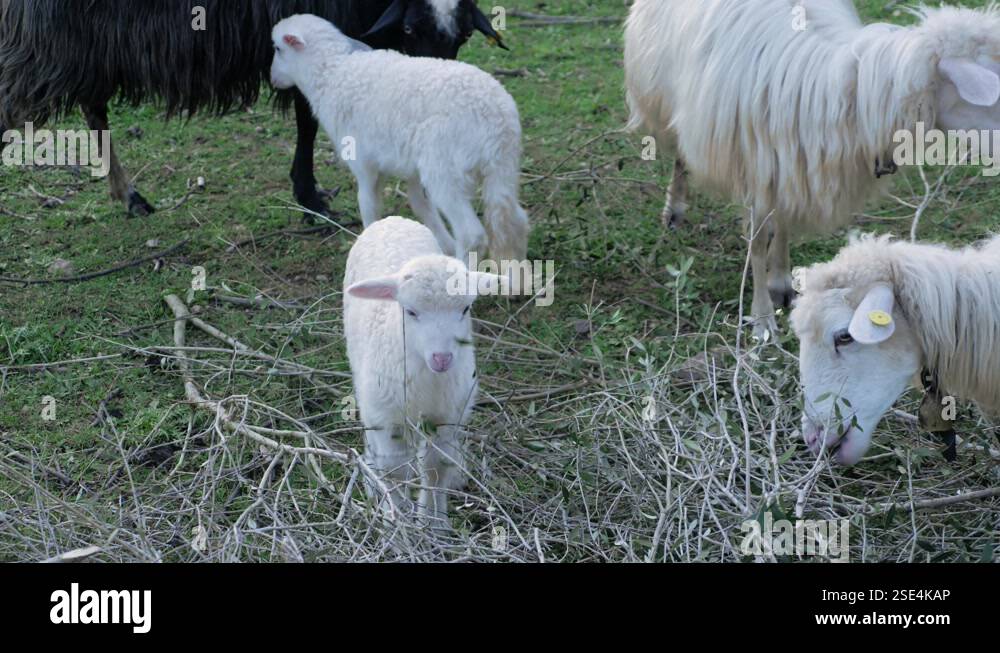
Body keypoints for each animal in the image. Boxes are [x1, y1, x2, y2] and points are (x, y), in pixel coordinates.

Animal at [0, 0, 505, 217]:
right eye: (409, 29)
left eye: (463, 35)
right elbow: (306, 119)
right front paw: (310, 199)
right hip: (42, 43)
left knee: (94, 108)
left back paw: (129, 196)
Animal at [270, 14, 529, 265]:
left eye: (278, 49)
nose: (273, 80)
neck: (331, 73)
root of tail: (497, 120)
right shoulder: (409, 168)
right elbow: (420, 204)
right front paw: (442, 247)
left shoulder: (365, 164)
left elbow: (368, 206)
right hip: (502, 168)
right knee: (514, 221)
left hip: (445, 168)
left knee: (471, 234)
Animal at [344, 215, 501, 524]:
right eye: (411, 312)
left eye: (466, 309)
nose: (442, 358)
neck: (428, 382)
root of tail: (392, 219)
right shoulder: (388, 417)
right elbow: (396, 472)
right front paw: (397, 523)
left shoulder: (447, 416)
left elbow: (435, 469)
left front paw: (433, 523)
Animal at [624, 0, 1000, 336]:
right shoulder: (756, 164)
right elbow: (757, 241)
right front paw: (762, 319)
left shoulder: (791, 164)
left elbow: (783, 223)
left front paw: (781, 282)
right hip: (661, 95)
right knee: (679, 154)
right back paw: (675, 208)